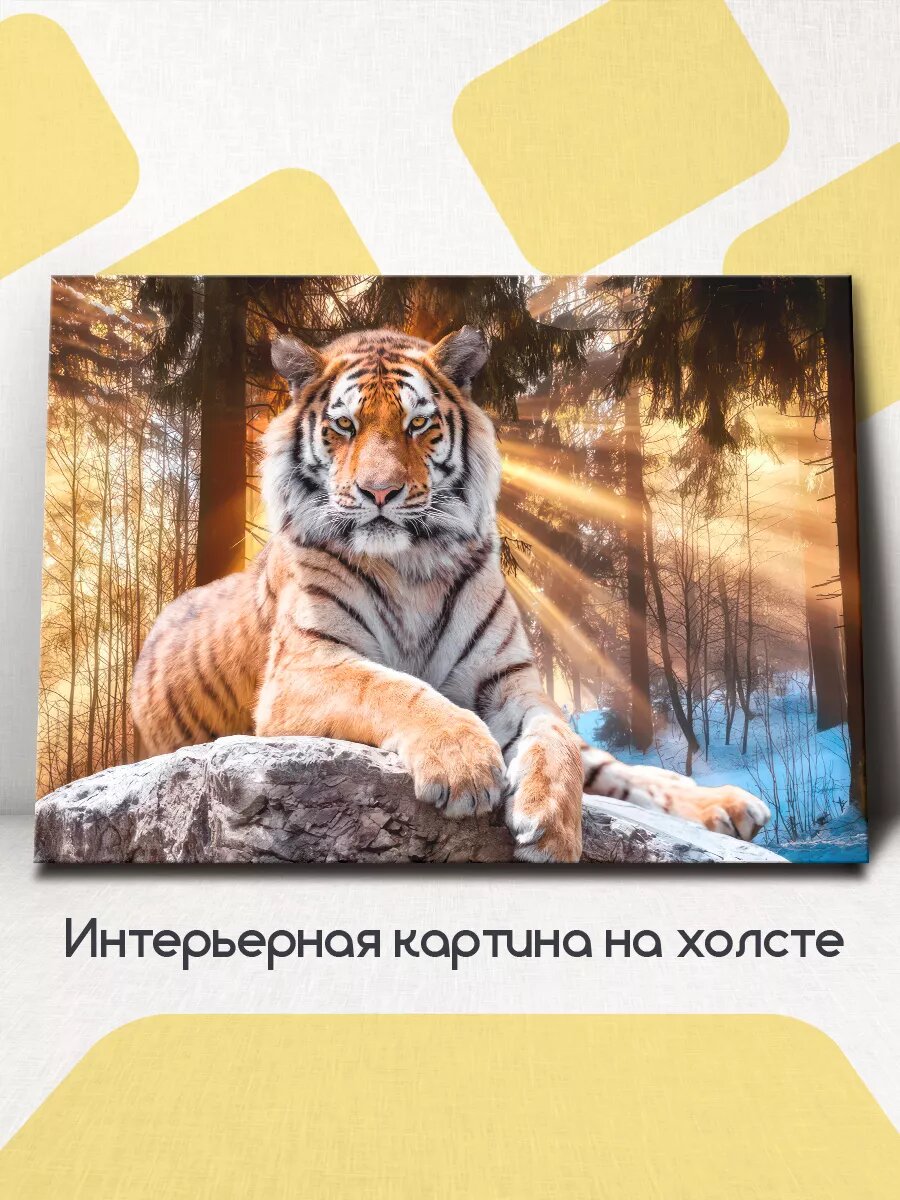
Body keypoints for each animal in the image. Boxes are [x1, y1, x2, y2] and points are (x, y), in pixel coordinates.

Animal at [131, 324, 770, 862]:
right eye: (344, 427)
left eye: (417, 424)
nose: (379, 493)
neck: (411, 563)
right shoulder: (305, 666)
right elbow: (394, 687)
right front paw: (465, 766)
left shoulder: (512, 683)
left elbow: (558, 741)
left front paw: (553, 830)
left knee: (612, 767)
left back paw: (731, 805)